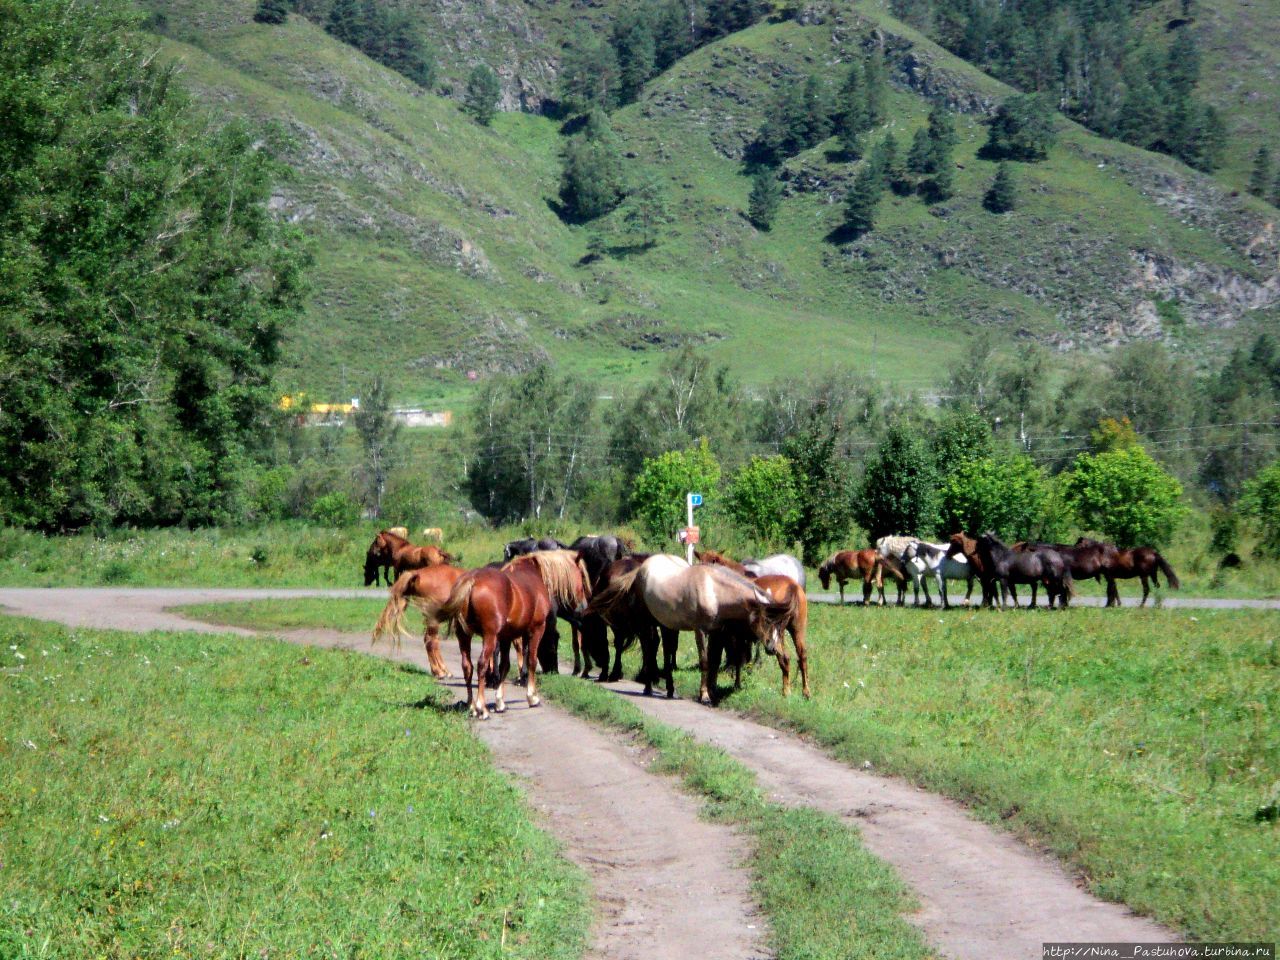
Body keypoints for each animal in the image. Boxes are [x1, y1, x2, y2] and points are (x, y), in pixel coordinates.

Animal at [437, 552, 583, 716]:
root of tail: (472, 581)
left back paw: (472, 706)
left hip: (464, 636)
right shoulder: (536, 629)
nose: (553, 671)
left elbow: (505, 665)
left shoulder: (507, 636)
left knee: (467, 666)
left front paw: (500, 702)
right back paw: (481, 708)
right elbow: (531, 660)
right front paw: (532, 697)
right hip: (489, 636)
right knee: (482, 664)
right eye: (581, 575)